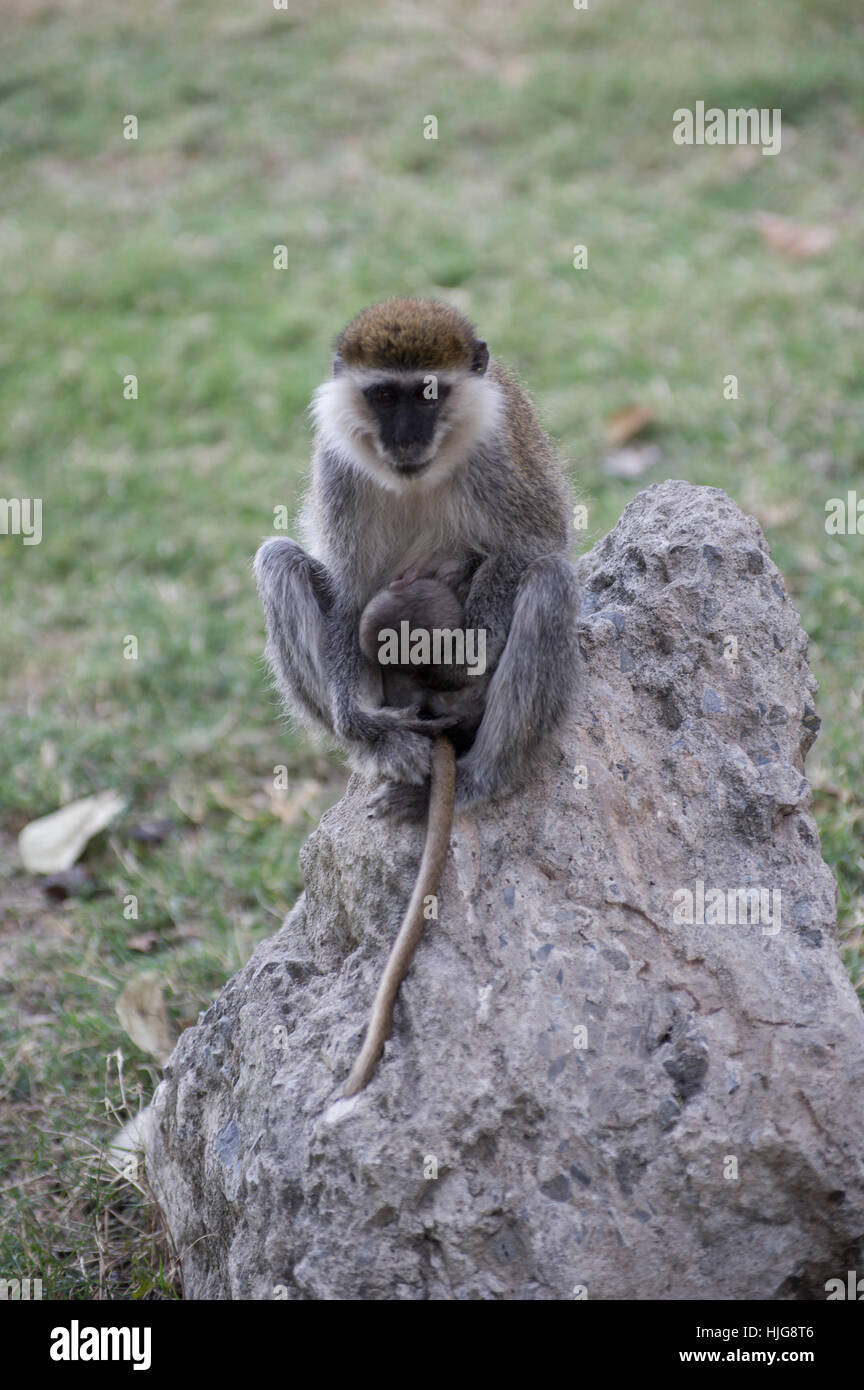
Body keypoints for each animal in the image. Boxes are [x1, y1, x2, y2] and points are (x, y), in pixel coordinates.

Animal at [254, 298, 579, 1092]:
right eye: (384, 396)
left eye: (426, 394)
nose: (404, 436)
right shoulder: (338, 468)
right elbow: (348, 591)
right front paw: (359, 717)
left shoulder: (503, 457)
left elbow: (537, 546)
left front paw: (471, 640)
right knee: (278, 562)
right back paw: (386, 747)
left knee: (549, 581)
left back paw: (480, 779)